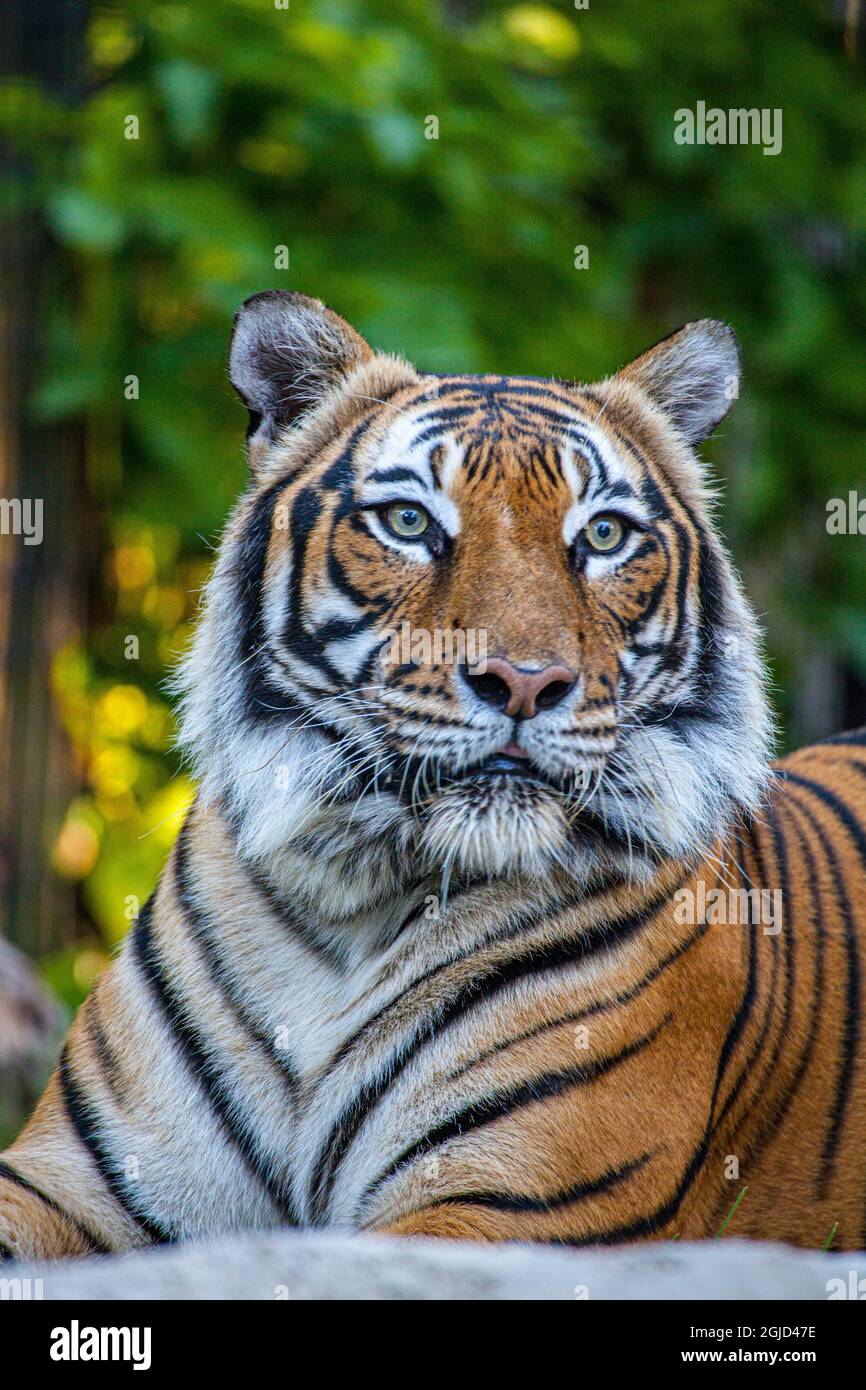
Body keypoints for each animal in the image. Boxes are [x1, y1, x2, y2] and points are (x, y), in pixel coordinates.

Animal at [2, 290, 865, 1264]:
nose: (525, 681)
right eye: (410, 523)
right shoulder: (68, 1182)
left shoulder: (508, 1207)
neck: (352, 901)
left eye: (604, 535)